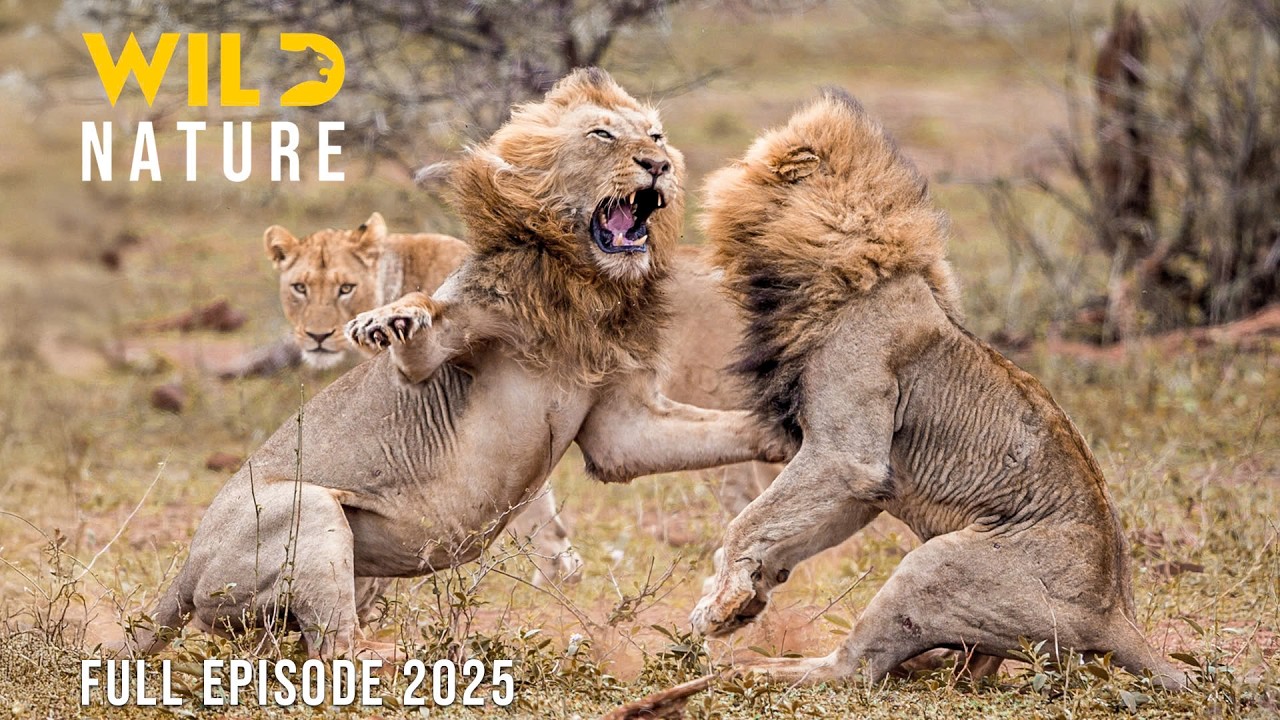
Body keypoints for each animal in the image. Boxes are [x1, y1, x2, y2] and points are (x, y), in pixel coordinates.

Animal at [117, 68, 787, 660]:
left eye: (655, 135)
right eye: (603, 135)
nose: (659, 166)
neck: (582, 285)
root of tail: (186, 567)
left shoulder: (621, 426)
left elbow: (718, 430)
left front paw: (784, 435)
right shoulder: (447, 345)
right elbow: (421, 326)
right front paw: (387, 320)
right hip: (310, 509)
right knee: (333, 651)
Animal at [688, 90, 1186, 690]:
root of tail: (1116, 618)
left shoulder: (845, 456)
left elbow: (747, 521)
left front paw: (718, 606)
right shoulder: (863, 485)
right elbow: (784, 528)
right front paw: (748, 595)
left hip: (933, 565)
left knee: (853, 668)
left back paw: (754, 670)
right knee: (971, 665)